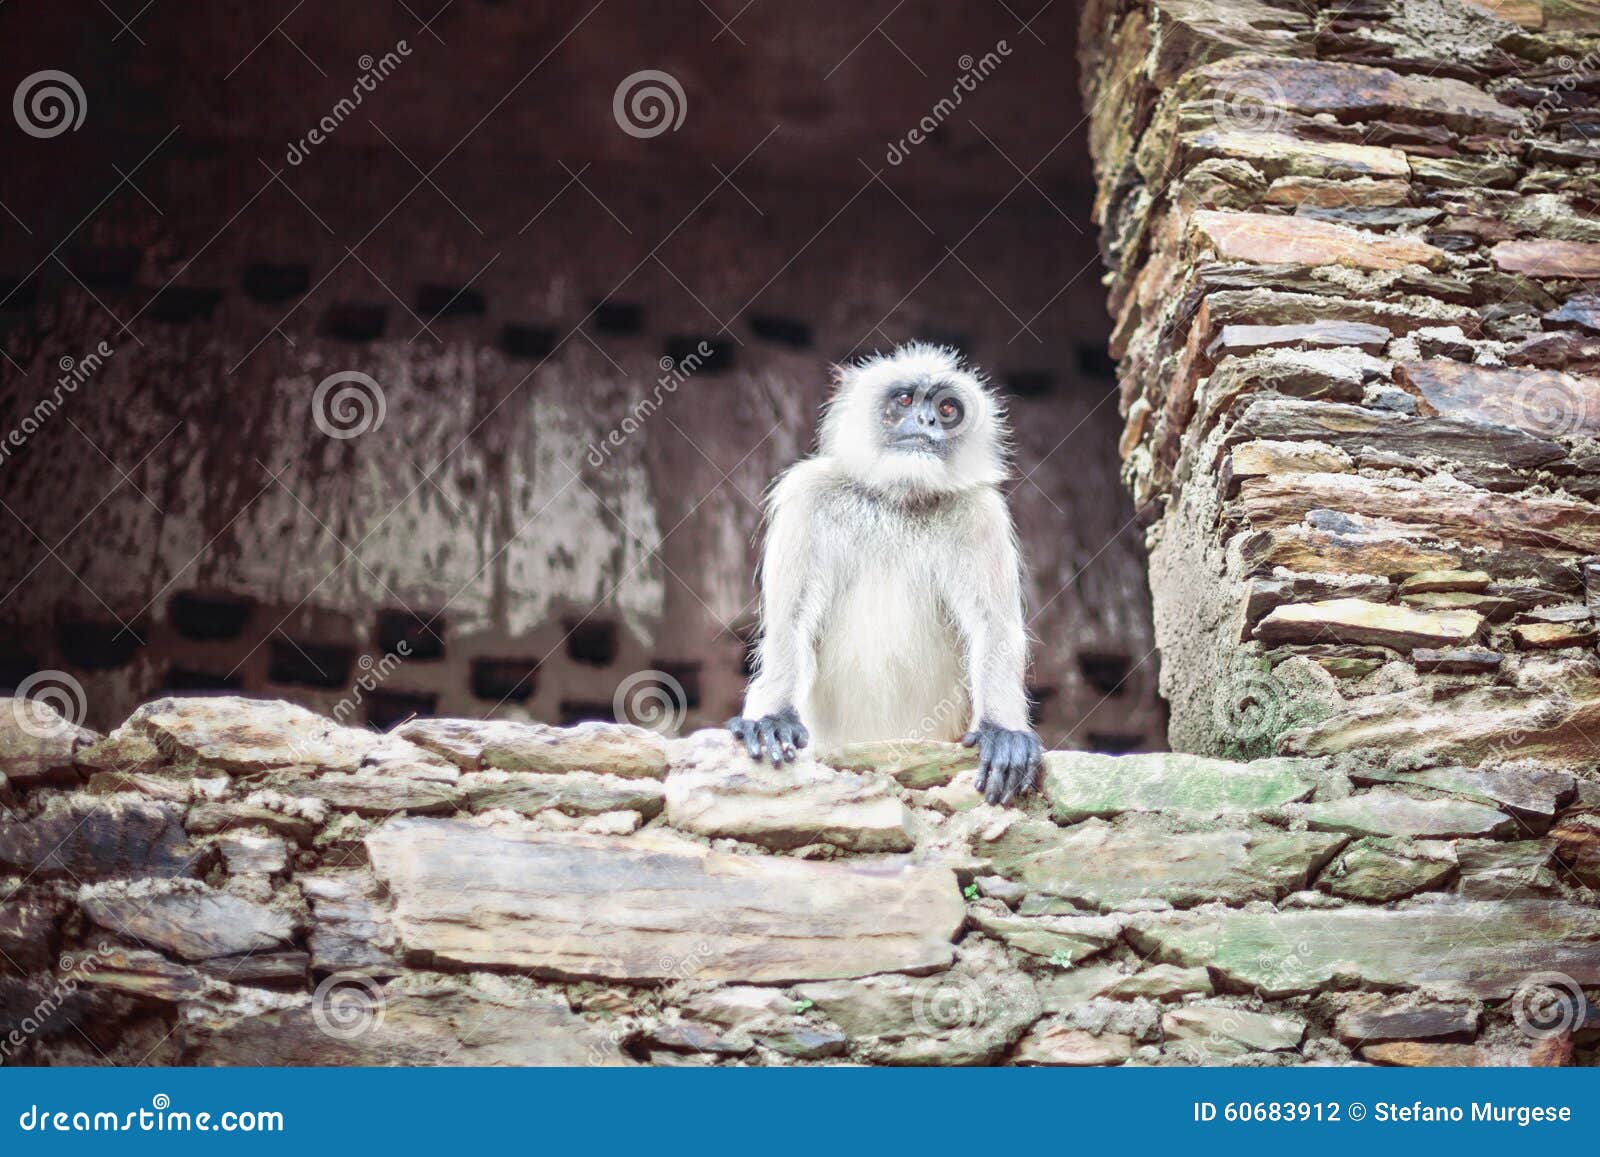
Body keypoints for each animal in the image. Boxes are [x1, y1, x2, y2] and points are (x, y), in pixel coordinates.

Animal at [727, 343, 1042, 806]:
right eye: (907, 400)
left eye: (947, 408)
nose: (927, 422)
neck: (897, 500)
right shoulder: (808, 493)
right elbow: (790, 621)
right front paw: (773, 717)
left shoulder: (980, 512)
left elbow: (994, 629)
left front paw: (1001, 730)